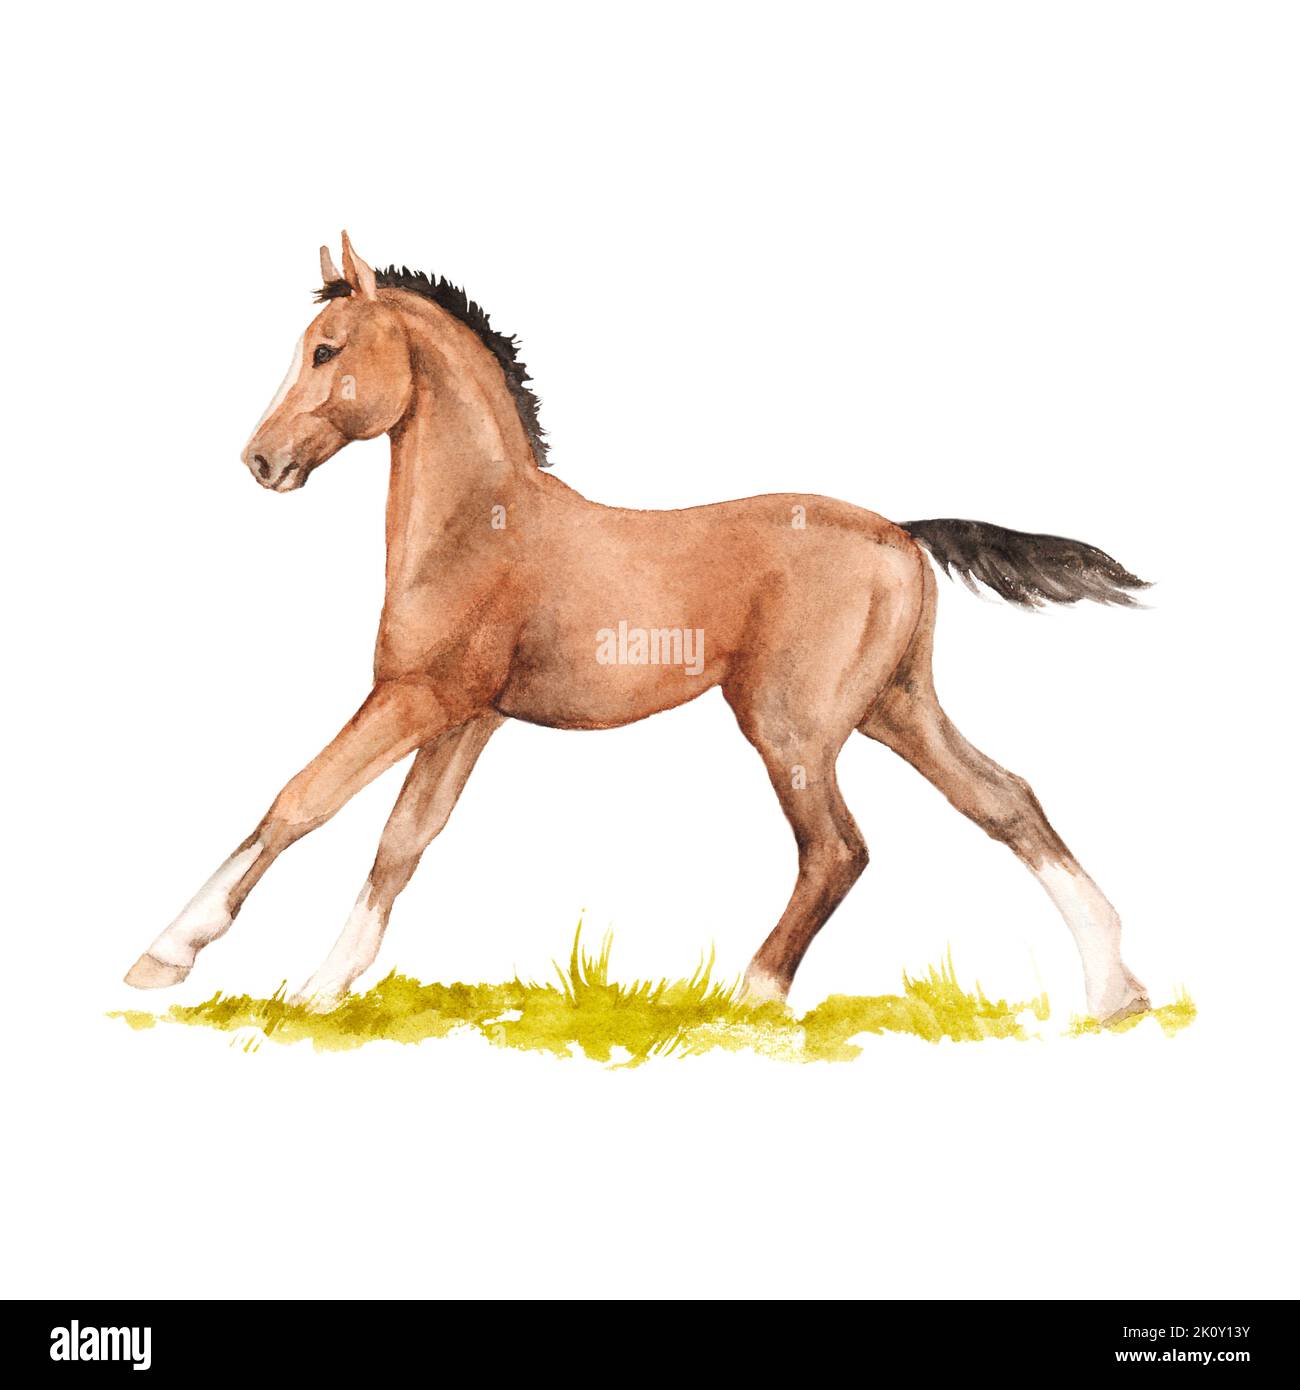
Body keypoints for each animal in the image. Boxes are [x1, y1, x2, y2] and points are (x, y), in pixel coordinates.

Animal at [125, 233, 1153, 1023]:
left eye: (326, 351)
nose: (261, 460)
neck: (478, 524)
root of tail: (901, 532)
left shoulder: (419, 697)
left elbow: (300, 801)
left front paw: (167, 955)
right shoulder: (469, 717)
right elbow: (401, 843)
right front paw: (322, 990)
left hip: (791, 726)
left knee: (838, 849)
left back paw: (747, 998)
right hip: (893, 707)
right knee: (1005, 800)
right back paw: (1116, 990)